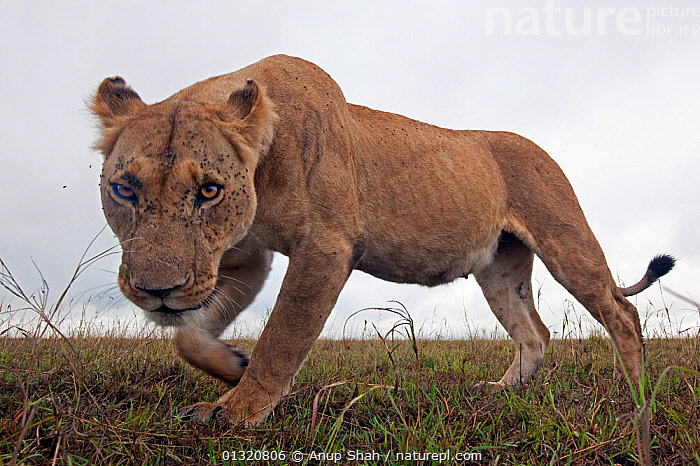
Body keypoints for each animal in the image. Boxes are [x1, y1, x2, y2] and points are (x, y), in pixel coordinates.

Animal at [91, 54, 674, 426]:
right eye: (125, 189)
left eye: (208, 191)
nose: (156, 292)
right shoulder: (243, 256)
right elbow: (188, 335)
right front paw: (231, 364)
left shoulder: (326, 247)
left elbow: (281, 339)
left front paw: (233, 412)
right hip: (499, 268)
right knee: (535, 332)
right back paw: (501, 393)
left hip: (565, 239)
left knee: (622, 314)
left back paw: (635, 396)